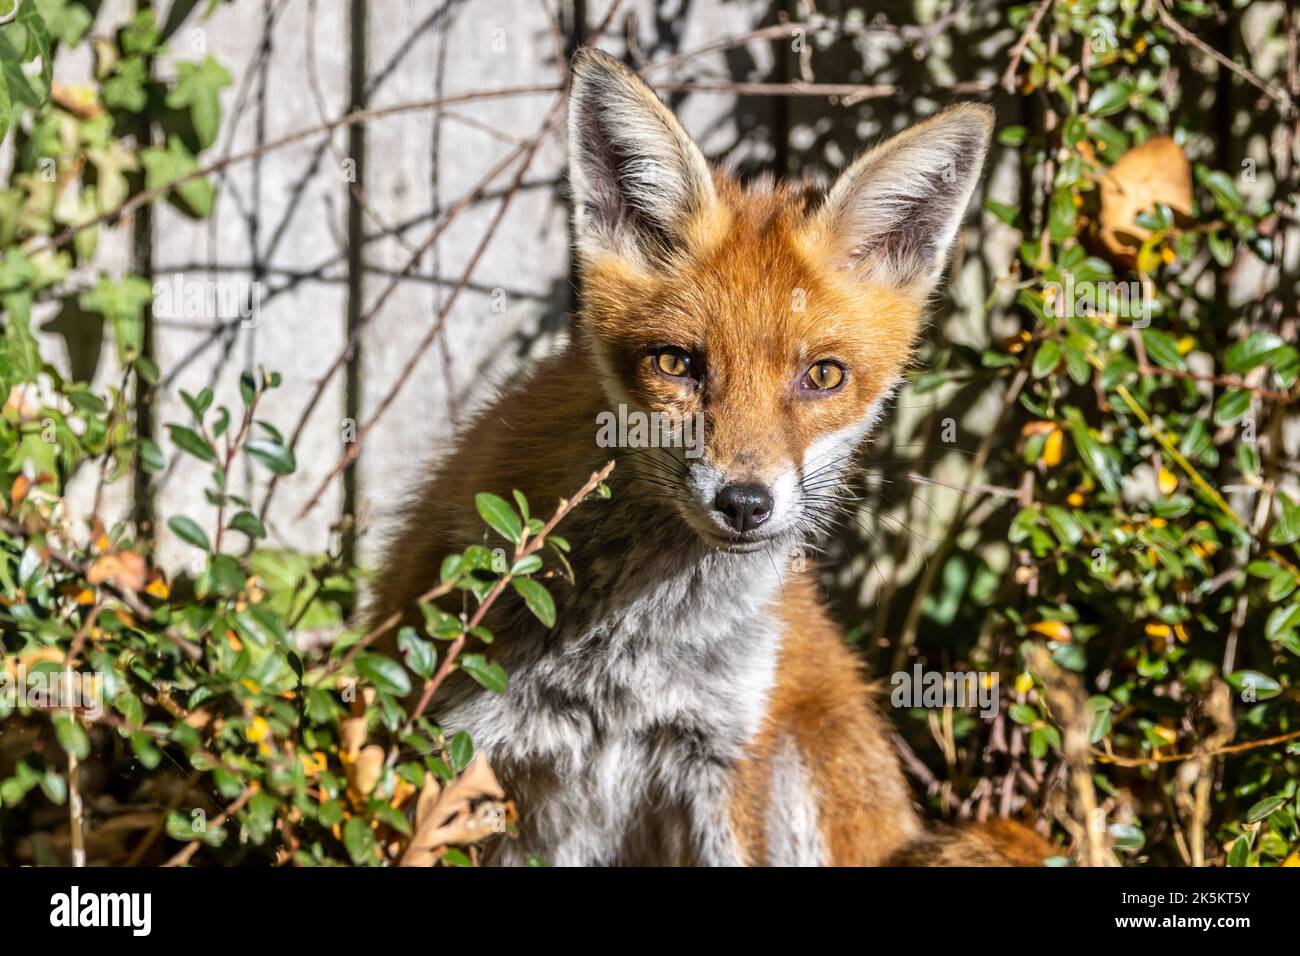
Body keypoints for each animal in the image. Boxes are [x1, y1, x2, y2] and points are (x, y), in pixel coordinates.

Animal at [370, 48, 1055, 866]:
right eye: (677, 364)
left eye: (823, 376)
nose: (745, 503)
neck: (632, 644)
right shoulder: (471, 750)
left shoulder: (720, 754)